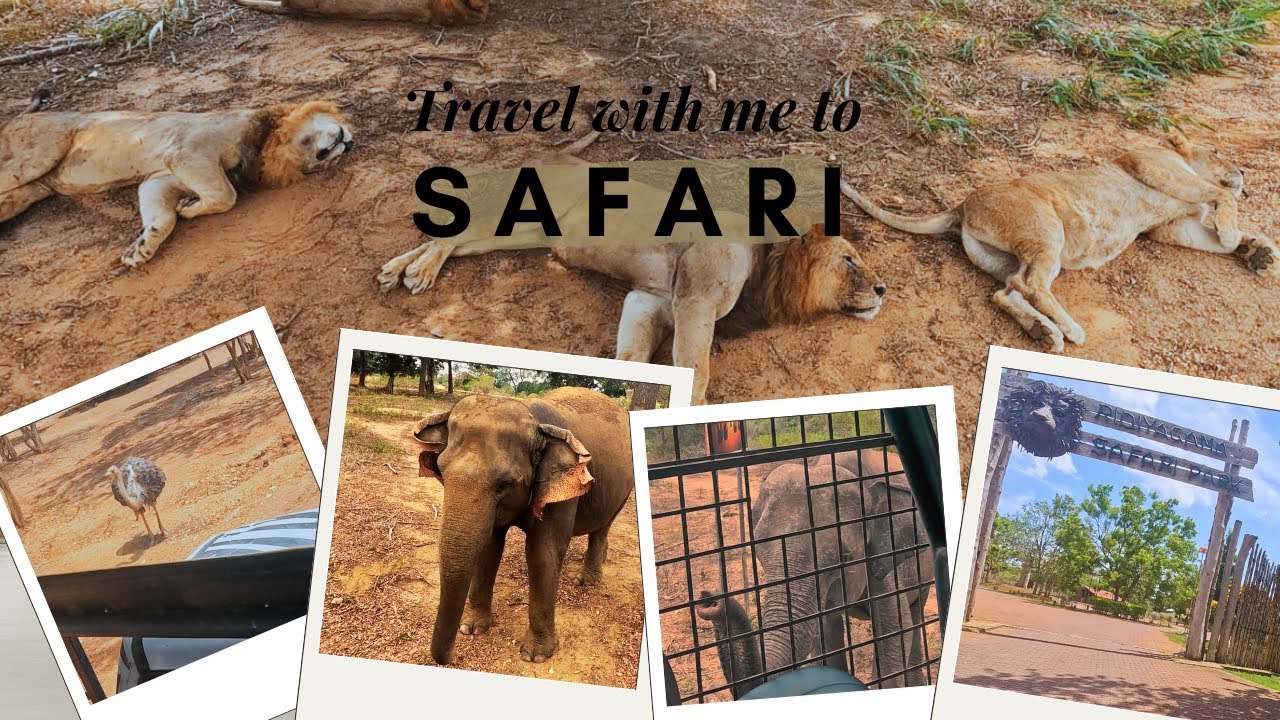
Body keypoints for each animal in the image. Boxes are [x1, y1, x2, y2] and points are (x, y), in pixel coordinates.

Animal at [0, 101, 352, 267]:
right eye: (311, 146)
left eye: (322, 163)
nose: (337, 147)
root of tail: (16, 118)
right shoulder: (188, 154)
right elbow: (226, 195)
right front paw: (187, 210)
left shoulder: (161, 178)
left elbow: (164, 216)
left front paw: (143, 247)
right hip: (37, 156)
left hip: (28, 191)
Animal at [378, 224, 886, 404]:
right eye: (849, 259)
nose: (883, 289)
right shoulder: (695, 300)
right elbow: (696, 372)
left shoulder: (650, 298)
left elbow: (633, 360)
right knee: (453, 234)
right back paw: (417, 272)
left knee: (459, 238)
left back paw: (399, 269)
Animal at [411, 386, 635, 665]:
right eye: (441, 470)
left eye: (505, 484)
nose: (452, 657)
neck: (535, 420)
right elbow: (489, 546)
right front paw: (472, 629)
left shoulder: (559, 490)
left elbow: (542, 554)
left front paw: (535, 655)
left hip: (624, 490)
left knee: (603, 527)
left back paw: (587, 581)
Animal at [842, 130, 1276, 351]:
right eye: (1217, 151)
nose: (1243, 171)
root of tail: (962, 206)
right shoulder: (1157, 168)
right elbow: (1220, 197)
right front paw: (1236, 232)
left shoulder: (1169, 227)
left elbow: (1214, 232)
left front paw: (1256, 250)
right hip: (1046, 227)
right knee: (1031, 283)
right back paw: (1069, 329)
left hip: (1003, 255)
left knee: (1007, 289)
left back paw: (1042, 331)